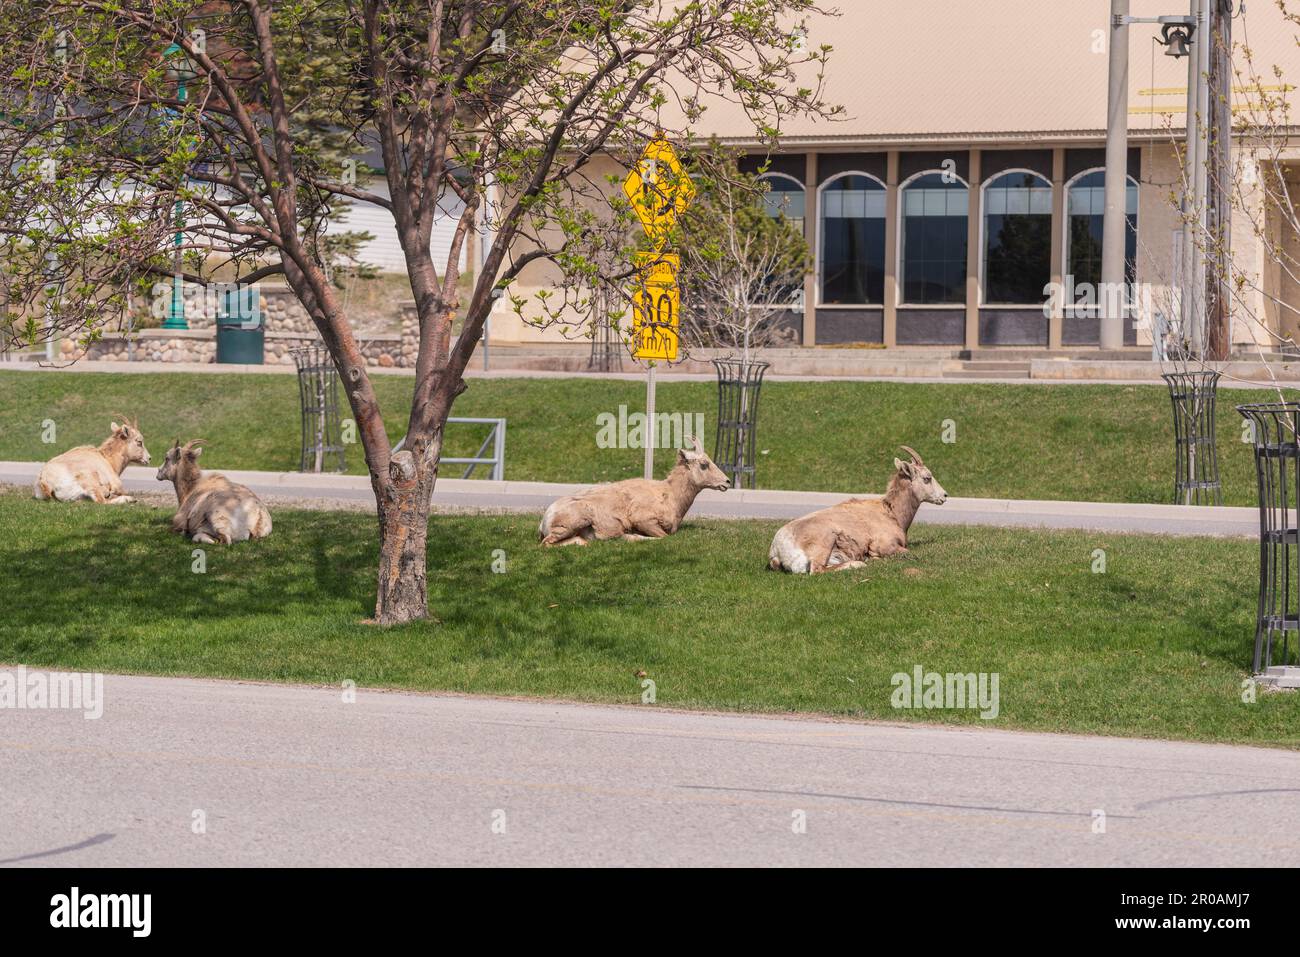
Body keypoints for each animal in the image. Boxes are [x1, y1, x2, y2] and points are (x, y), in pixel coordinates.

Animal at [539, 436, 730, 545]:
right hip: (574, 522)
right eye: (704, 464)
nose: (727, 482)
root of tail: (544, 521)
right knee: (546, 544)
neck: (670, 495)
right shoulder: (644, 521)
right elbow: (665, 537)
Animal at [768, 446, 948, 574]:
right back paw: (859, 563)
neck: (891, 513)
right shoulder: (886, 546)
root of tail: (778, 549)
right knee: (817, 570)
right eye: (927, 478)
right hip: (825, 542)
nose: (944, 496)